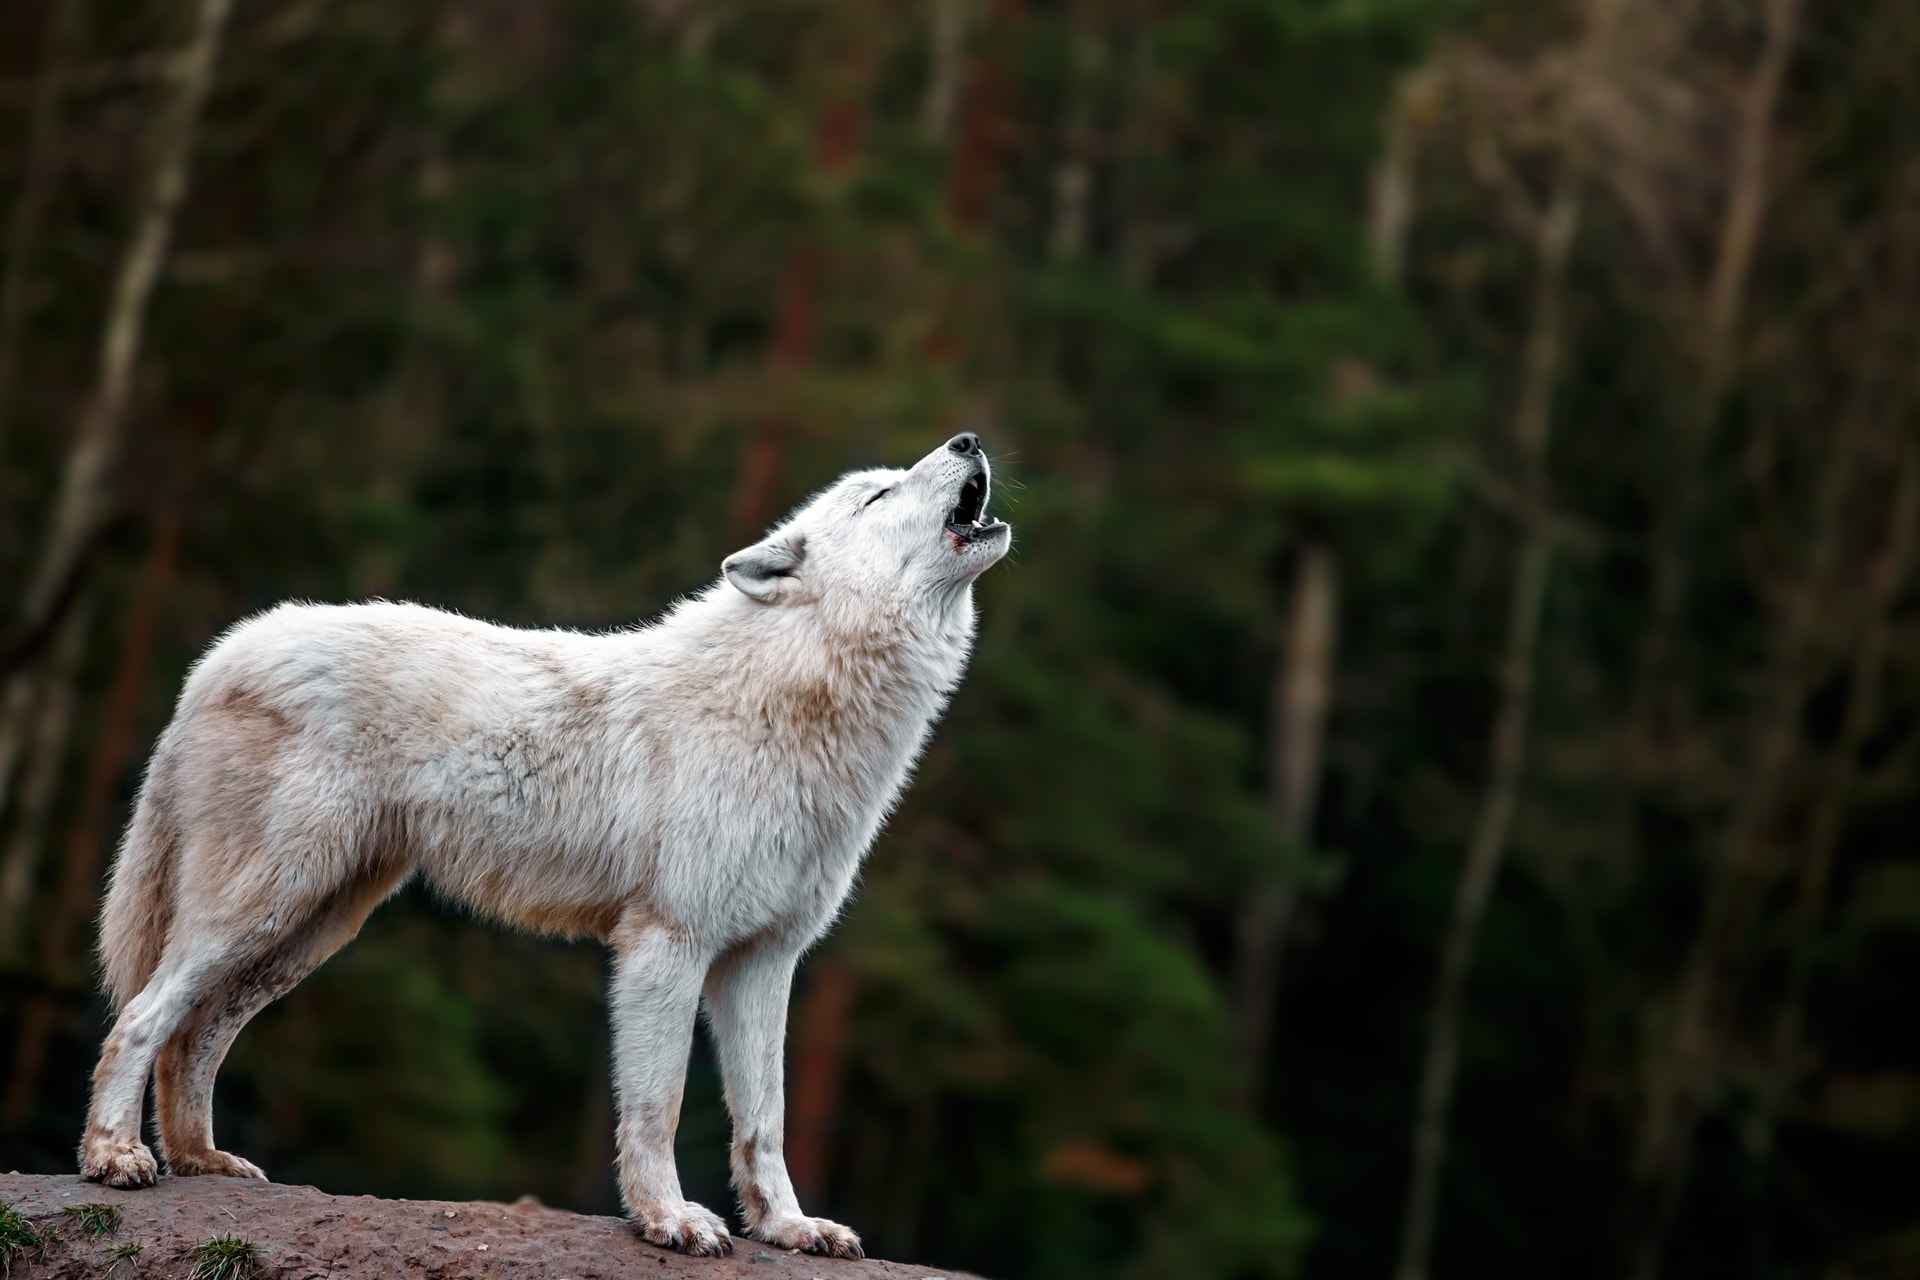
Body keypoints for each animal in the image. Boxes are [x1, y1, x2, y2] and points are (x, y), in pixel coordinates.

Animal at [78, 432, 1011, 1258]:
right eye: (877, 495)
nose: (969, 440)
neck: (790, 698)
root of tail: (222, 653)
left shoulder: (764, 960)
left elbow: (764, 1121)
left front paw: (787, 1229)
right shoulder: (666, 945)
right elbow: (660, 1107)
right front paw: (669, 1221)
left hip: (311, 928)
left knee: (193, 1036)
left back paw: (201, 1161)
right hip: (262, 906)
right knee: (140, 1019)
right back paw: (115, 1156)